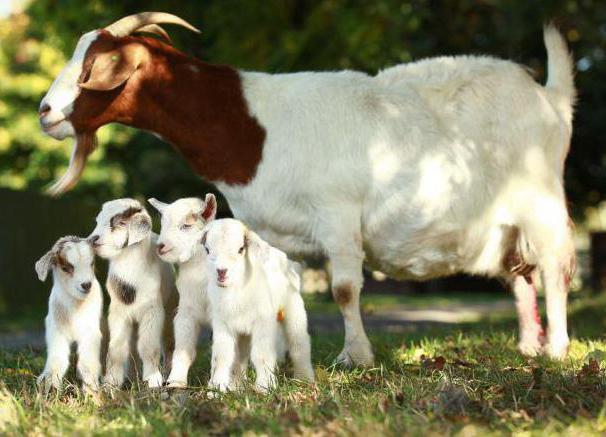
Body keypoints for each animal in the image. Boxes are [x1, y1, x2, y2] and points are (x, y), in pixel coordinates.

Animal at [34, 237, 102, 394]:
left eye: (92, 263)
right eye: (65, 268)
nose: (86, 285)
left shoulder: (91, 332)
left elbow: (87, 363)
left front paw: (91, 389)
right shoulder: (56, 331)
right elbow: (57, 359)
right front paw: (49, 384)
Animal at [89, 199, 177, 386]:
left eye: (122, 223)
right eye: (98, 221)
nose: (93, 239)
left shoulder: (152, 312)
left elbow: (148, 346)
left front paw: (153, 380)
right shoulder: (118, 313)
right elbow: (117, 348)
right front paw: (111, 382)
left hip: (170, 309)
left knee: (168, 342)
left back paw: (166, 374)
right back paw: (133, 377)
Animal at [150, 193, 218, 384]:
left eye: (187, 225)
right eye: (163, 224)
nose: (161, 247)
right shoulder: (187, 311)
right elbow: (183, 349)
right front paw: (175, 381)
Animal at [204, 218, 318, 392]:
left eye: (241, 249)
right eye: (207, 250)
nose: (221, 272)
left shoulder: (263, 322)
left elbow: (261, 354)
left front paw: (265, 387)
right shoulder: (222, 324)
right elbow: (222, 355)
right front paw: (216, 388)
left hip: (293, 309)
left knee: (299, 343)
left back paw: (304, 379)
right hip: (243, 332)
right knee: (241, 355)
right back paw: (237, 385)